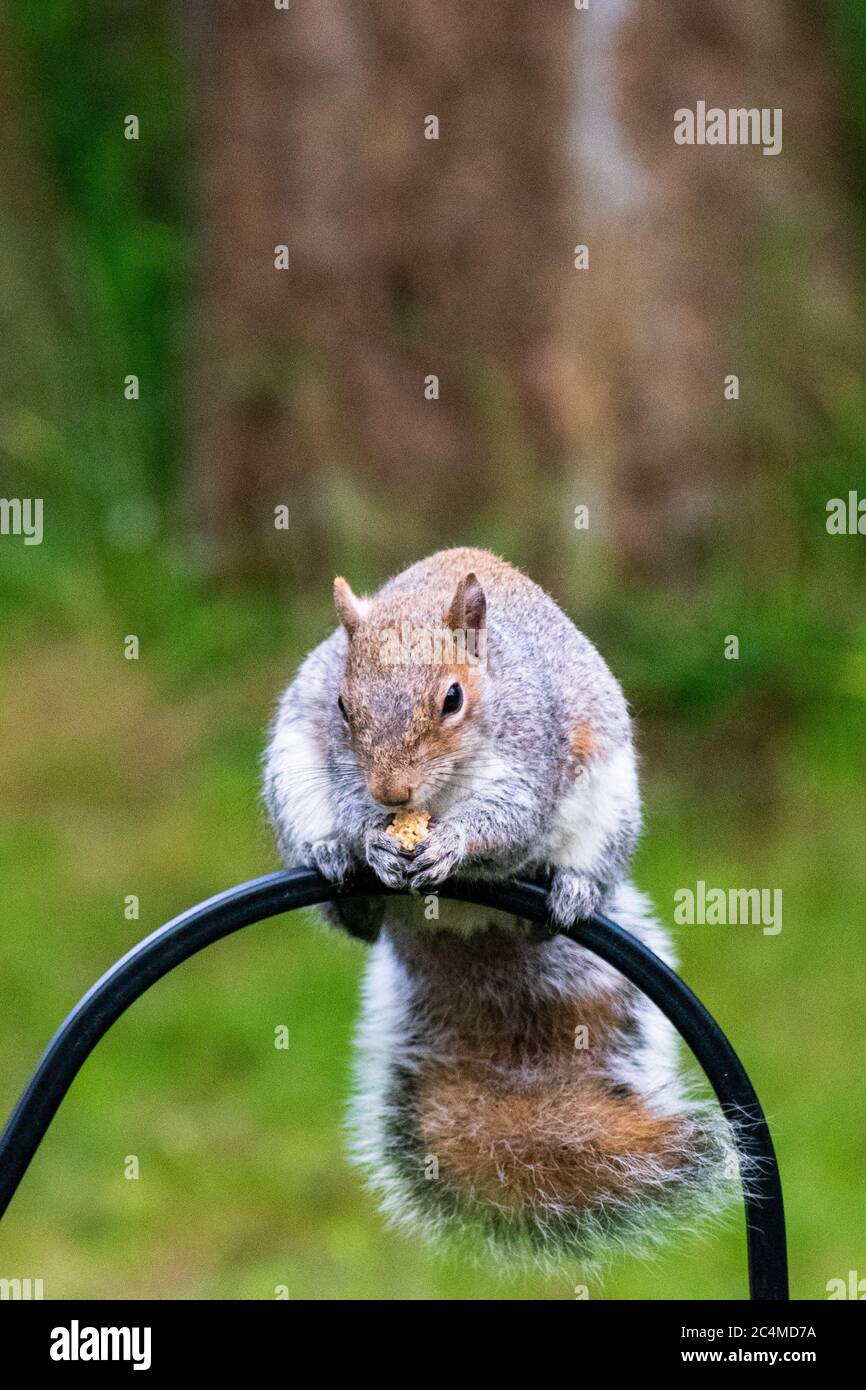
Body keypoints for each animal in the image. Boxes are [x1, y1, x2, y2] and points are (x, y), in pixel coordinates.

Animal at [264, 547, 738, 1267]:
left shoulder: (530, 751)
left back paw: (566, 893)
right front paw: (370, 839)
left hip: (608, 807)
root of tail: (463, 930)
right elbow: (349, 801)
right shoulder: (327, 752)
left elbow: (510, 821)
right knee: (350, 903)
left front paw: (455, 843)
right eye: (342, 706)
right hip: (291, 781)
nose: (391, 792)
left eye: (452, 699)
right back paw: (348, 883)